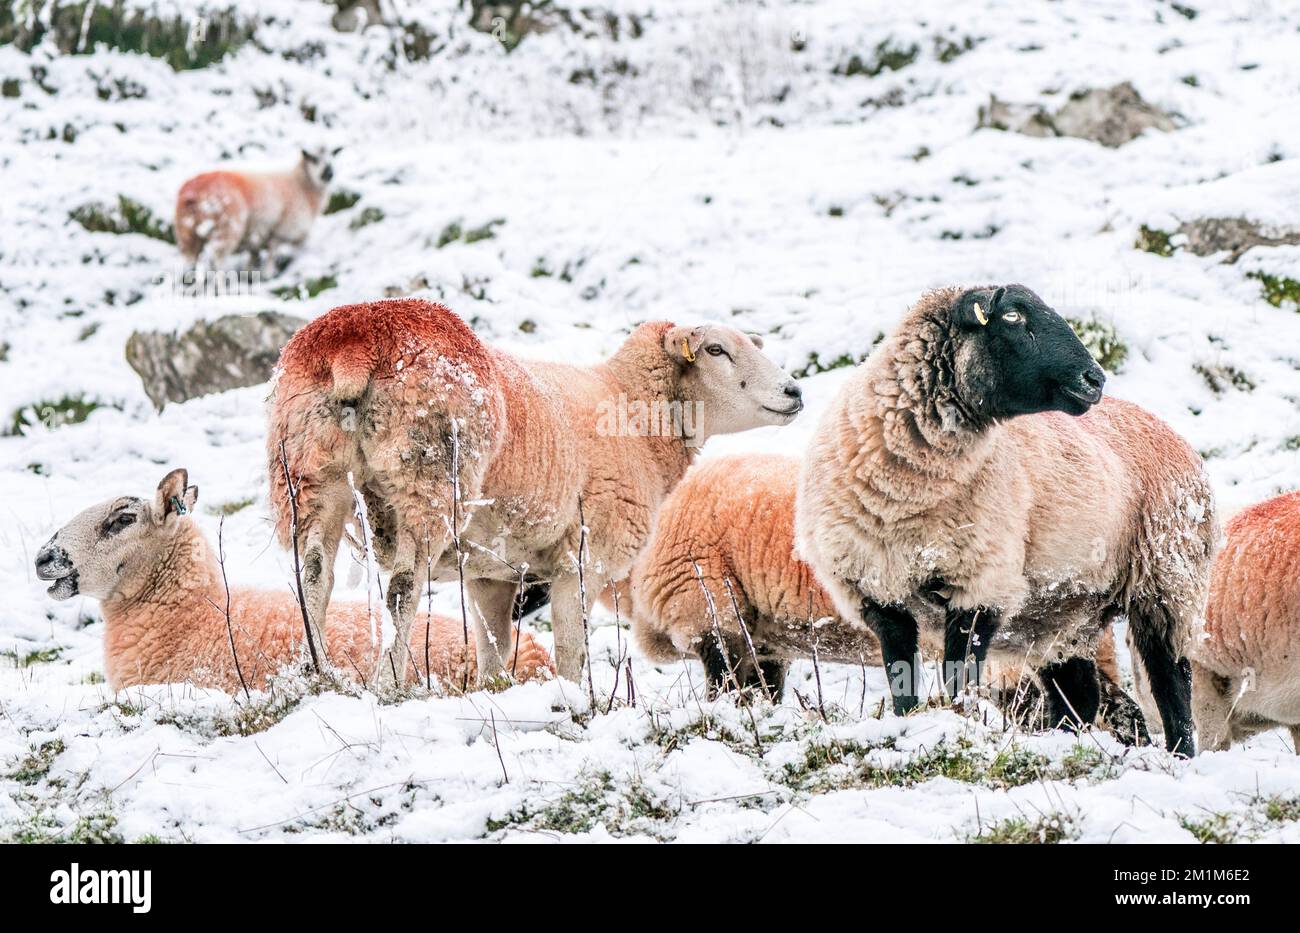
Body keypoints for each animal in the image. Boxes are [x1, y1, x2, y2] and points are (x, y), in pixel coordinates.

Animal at [175, 148, 333, 269]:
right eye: (314, 159)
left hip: (187, 235)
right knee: (218, 261)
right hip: (227, 229)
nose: (330, 173)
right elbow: (273, 252)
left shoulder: (259, 237)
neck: (301, 184)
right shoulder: (285, 229)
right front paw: (269, 272)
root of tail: (193, 192)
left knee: (190, 263)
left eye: (331, 156)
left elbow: (254, 255)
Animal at [267, 298, 803, 690]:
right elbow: (571, 648)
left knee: (312, 576)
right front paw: (576, 698)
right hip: (429, 473)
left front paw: (491, 692)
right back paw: (389, 682)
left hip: (305, 470)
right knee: (402, 589)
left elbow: (494, 651)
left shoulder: (488, 572)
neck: (636, 415)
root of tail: (355, 341)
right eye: (715, 350)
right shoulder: (583, 558)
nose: (795, 391)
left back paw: (315, 674)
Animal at [795, 284, 1217, 755]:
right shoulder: (878, 593)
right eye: (1013, 317)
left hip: (1167, 581)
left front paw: (957, 722)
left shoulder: (980, 583)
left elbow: (959, 673)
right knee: (1080, 695)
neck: (903, 501)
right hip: (1064, 611)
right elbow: (901, 678)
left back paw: (1181, 754)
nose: (1095, 380)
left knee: (1171, 681)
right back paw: (1063, 741)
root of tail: (1174, 434)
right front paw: (910, 724)